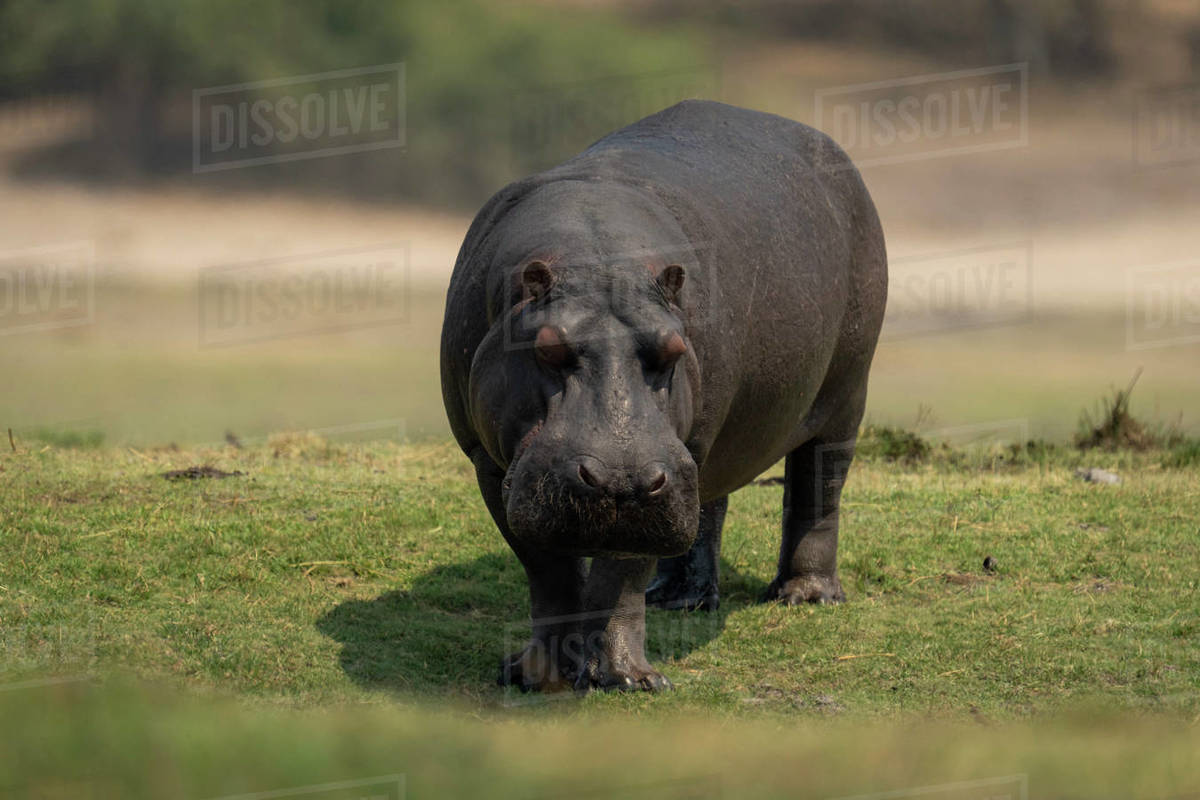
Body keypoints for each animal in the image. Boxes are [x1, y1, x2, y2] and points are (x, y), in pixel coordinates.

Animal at [440, 100, 887, 692]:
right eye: (547, 347)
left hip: (843, 392)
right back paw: (681, 599)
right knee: (709, 504)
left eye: (674, 347)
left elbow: (622, 574)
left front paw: (629, 679)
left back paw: (806, 597)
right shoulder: (490, 463)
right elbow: (549, 571)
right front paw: (537, 675)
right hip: (702, 446)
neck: (598, 258)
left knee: (819, 485)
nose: (619, 479)